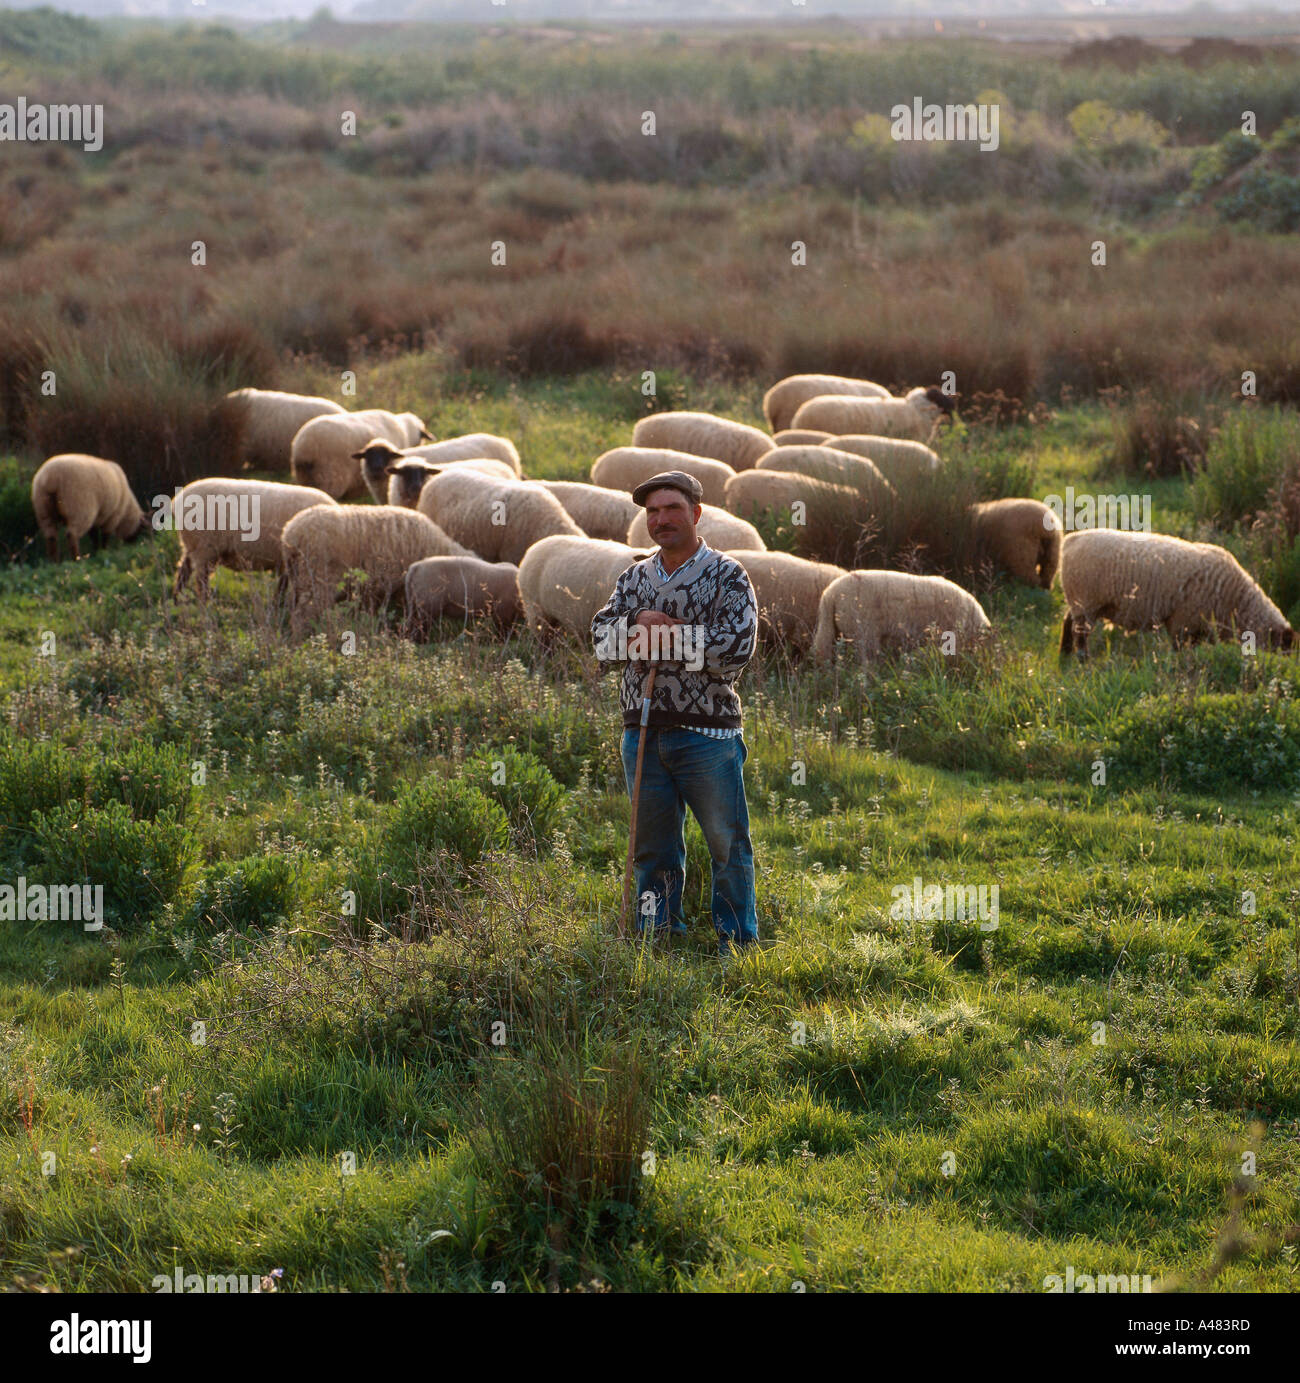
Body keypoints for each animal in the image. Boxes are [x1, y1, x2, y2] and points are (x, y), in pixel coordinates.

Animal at [171, 478, 339, 601]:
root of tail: (178, 500)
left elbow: (284, 585)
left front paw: (278, 605)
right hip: (205, 547)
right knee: (201, 581)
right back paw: (205, 607)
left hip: (192, 545)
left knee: (183, 571)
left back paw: (177, 600)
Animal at [1058, 529, 1294, 659]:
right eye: (1282, 648)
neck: (1237, 600)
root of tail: (1070, 540)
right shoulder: (1183, 621)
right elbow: (1179, 648)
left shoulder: (1197, 627)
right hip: (1086, 602)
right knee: (1081, 635)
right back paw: (1083, 661)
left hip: (1080, 603)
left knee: (1067, 621)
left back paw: (1065, 654)